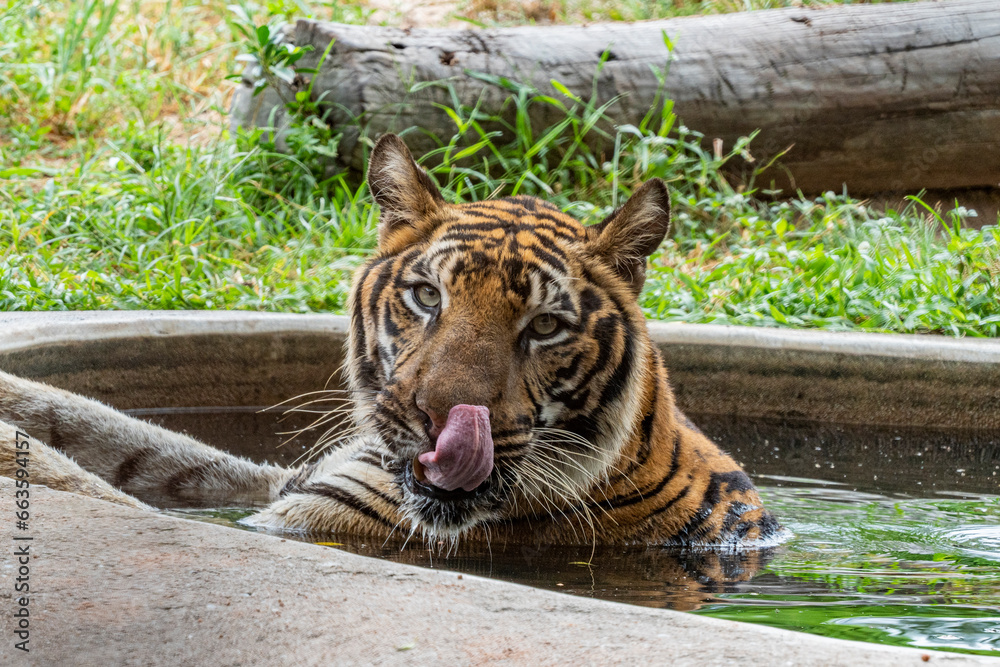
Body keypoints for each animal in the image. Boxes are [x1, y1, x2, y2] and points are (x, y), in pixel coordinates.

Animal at [0, 133, 780, 549]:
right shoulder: (289, 480)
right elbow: (118, 438)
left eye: (544, 326)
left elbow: (81, 481)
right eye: (427, 296)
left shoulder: (303, 521)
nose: (443, 422)